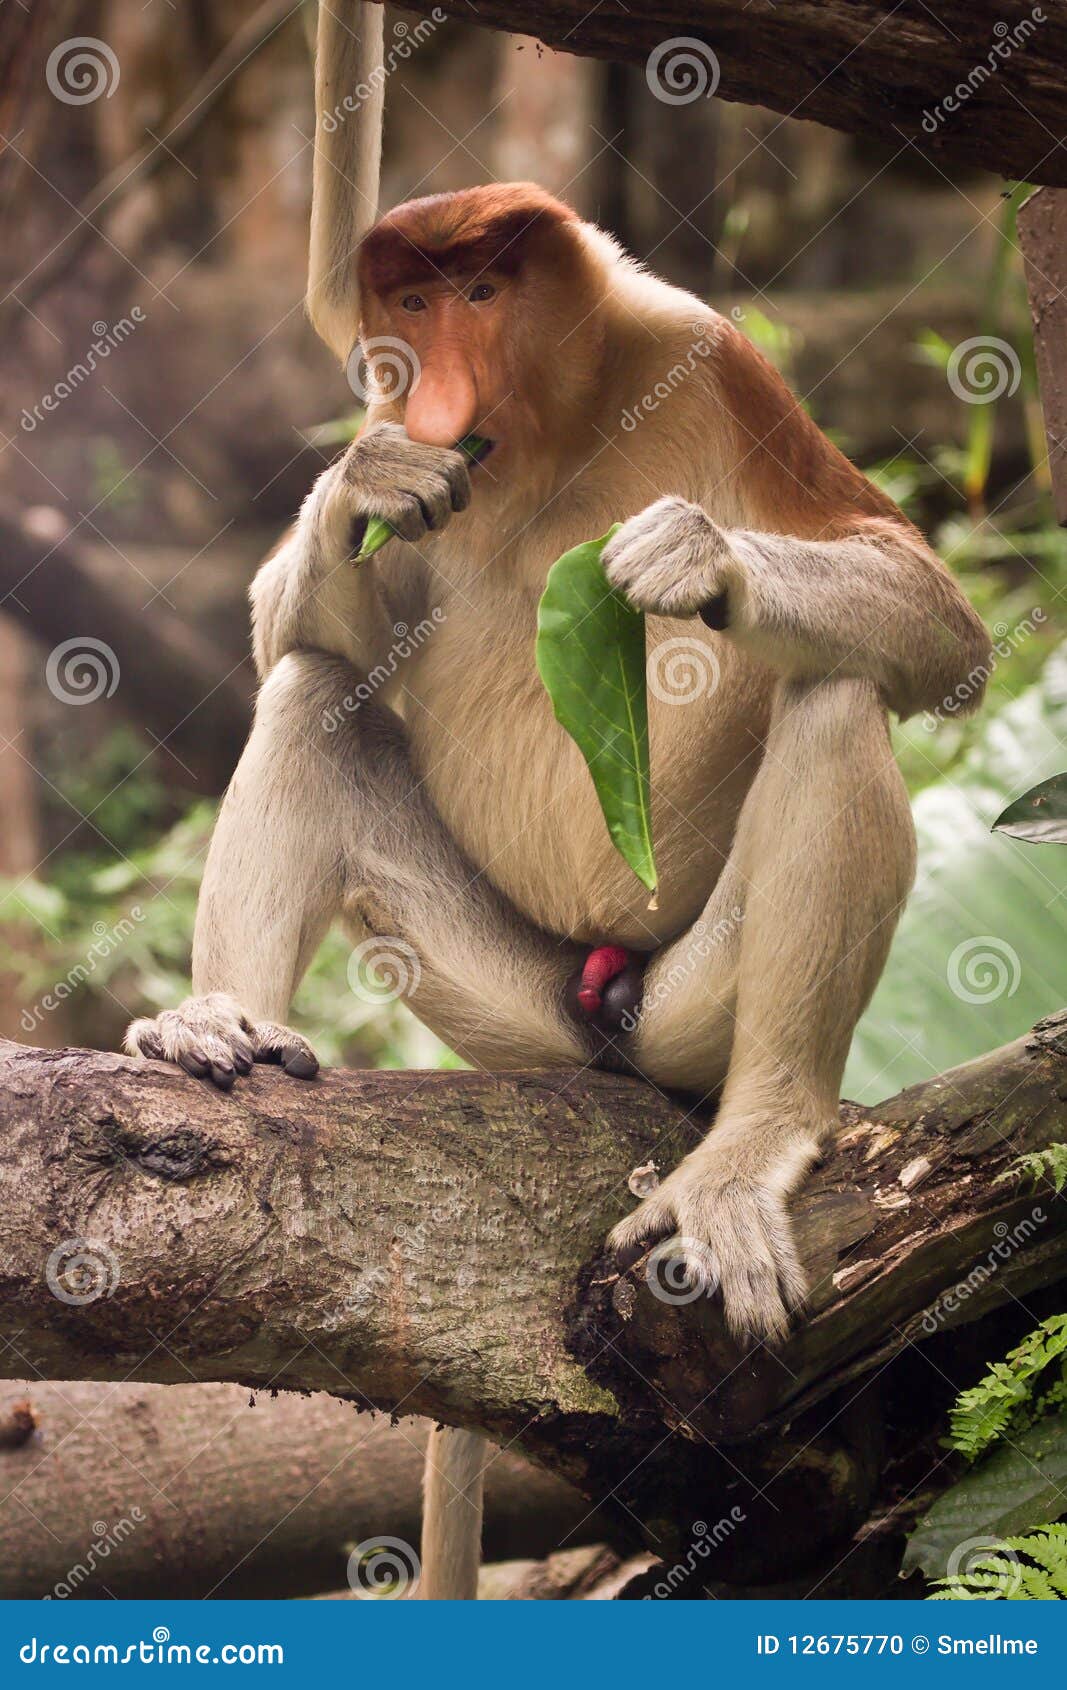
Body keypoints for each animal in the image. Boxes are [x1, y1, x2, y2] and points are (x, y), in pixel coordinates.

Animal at [124, 2, 992, 1599]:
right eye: (410, 301)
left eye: (481, 289)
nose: (425, 387)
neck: (553, 423)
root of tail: (605, 999)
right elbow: (294, 634)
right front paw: (370, 476)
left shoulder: (710, 354)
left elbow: (931, 618)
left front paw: (693, 561)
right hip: (502, 998)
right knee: (313, 696)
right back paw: (219, 1026)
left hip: (686, 1012)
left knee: (834, 698)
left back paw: (755, 1142)